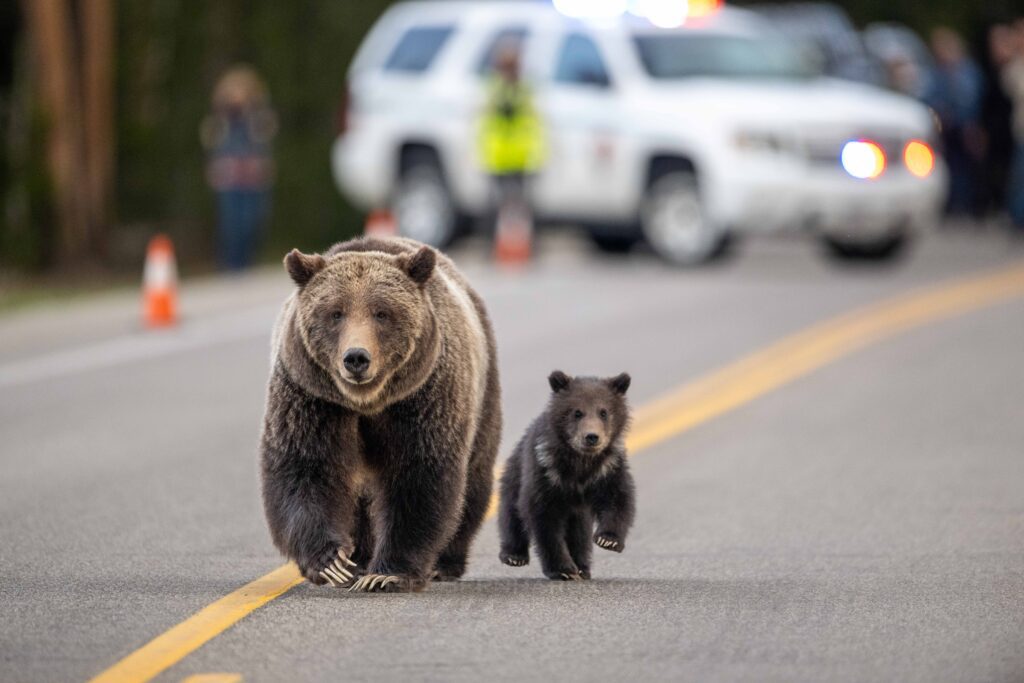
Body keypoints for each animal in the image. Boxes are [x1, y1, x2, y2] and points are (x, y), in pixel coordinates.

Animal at [259, 235, 501, 593]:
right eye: (336, 313)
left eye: (382, 313)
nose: (356, 358)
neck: (367, 403)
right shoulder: (313, 398)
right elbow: (305, 467)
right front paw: (331, 563)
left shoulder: (421, 399)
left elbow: (418, 475)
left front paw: (389, 573)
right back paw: (358, 559)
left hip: (483, 393)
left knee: (474, 479)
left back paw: (445, 563)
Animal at [498, 370, 636, 580]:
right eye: (577, 412)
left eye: (603, 412)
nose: (592, 437)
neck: (580, 463)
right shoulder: (546, 471)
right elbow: (545, 522)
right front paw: (562, 569)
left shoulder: (608, 468)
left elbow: (618, 499)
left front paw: (608, 540)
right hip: (516, 473)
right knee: (511, 511)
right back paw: (514, 555)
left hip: (577, 511)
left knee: (579, 533)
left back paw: (583, 567)